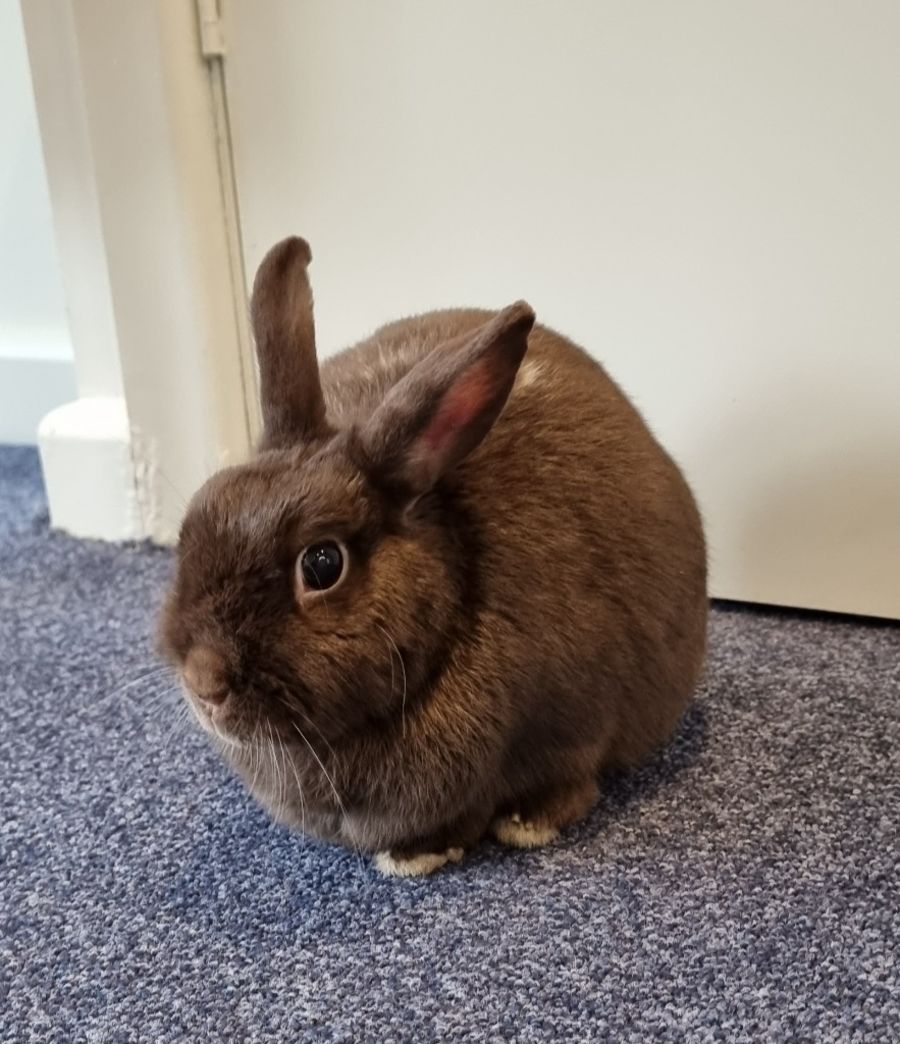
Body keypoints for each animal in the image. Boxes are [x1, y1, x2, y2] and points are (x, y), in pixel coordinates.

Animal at [159, 236, 708, 877]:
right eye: (193, 524)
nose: (204, 682)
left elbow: (567, 785)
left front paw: (503, 830)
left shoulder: (579, 728)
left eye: (322, 564)